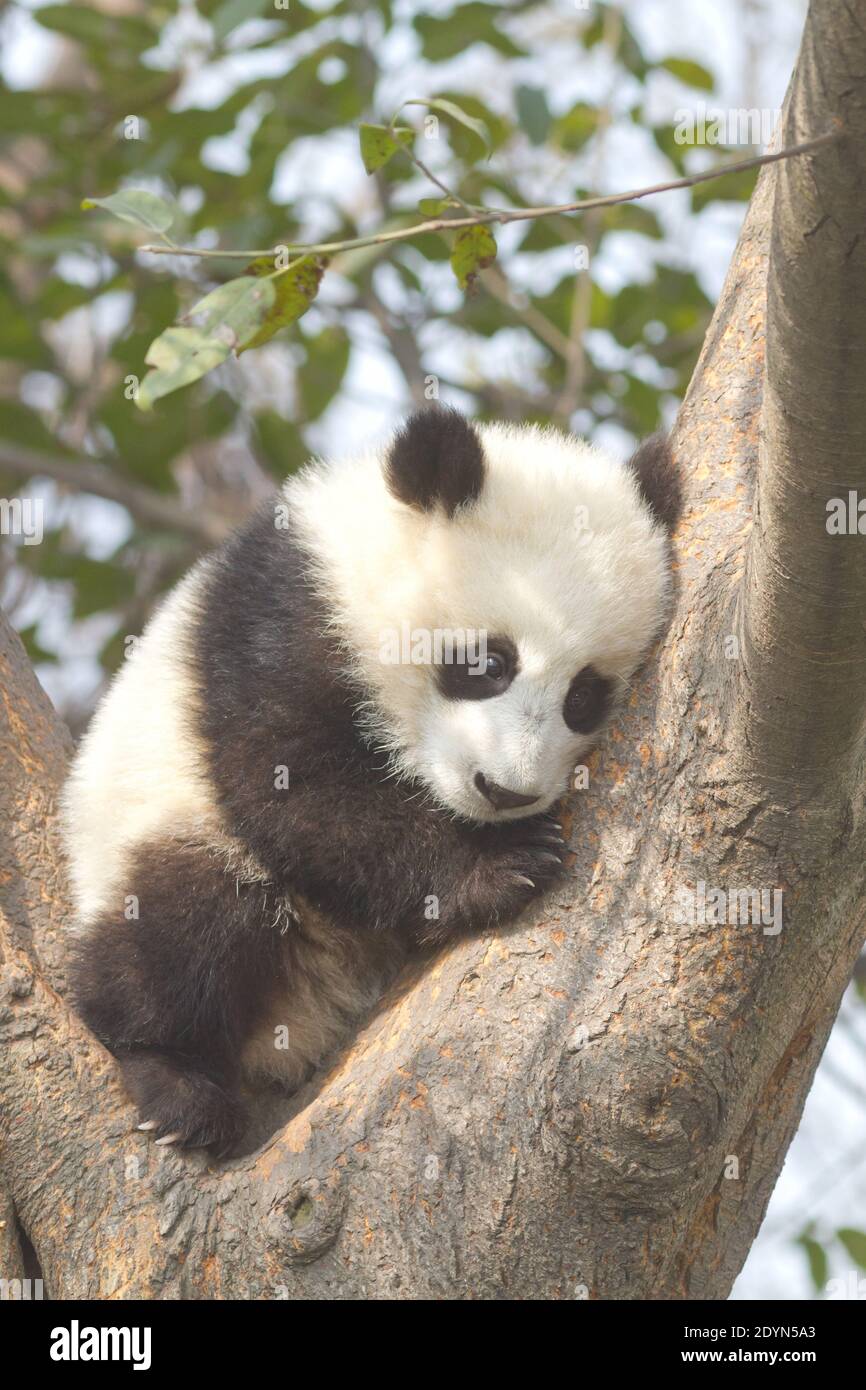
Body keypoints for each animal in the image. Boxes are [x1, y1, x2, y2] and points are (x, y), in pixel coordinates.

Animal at [62, 407, 680, 1153]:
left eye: (585, 697)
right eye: (487, 662)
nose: (504, 791)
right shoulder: (281, 628)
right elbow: (294, 788)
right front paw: (501, 863)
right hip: (154, 821)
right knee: (183, 920)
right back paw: (177, 1087)